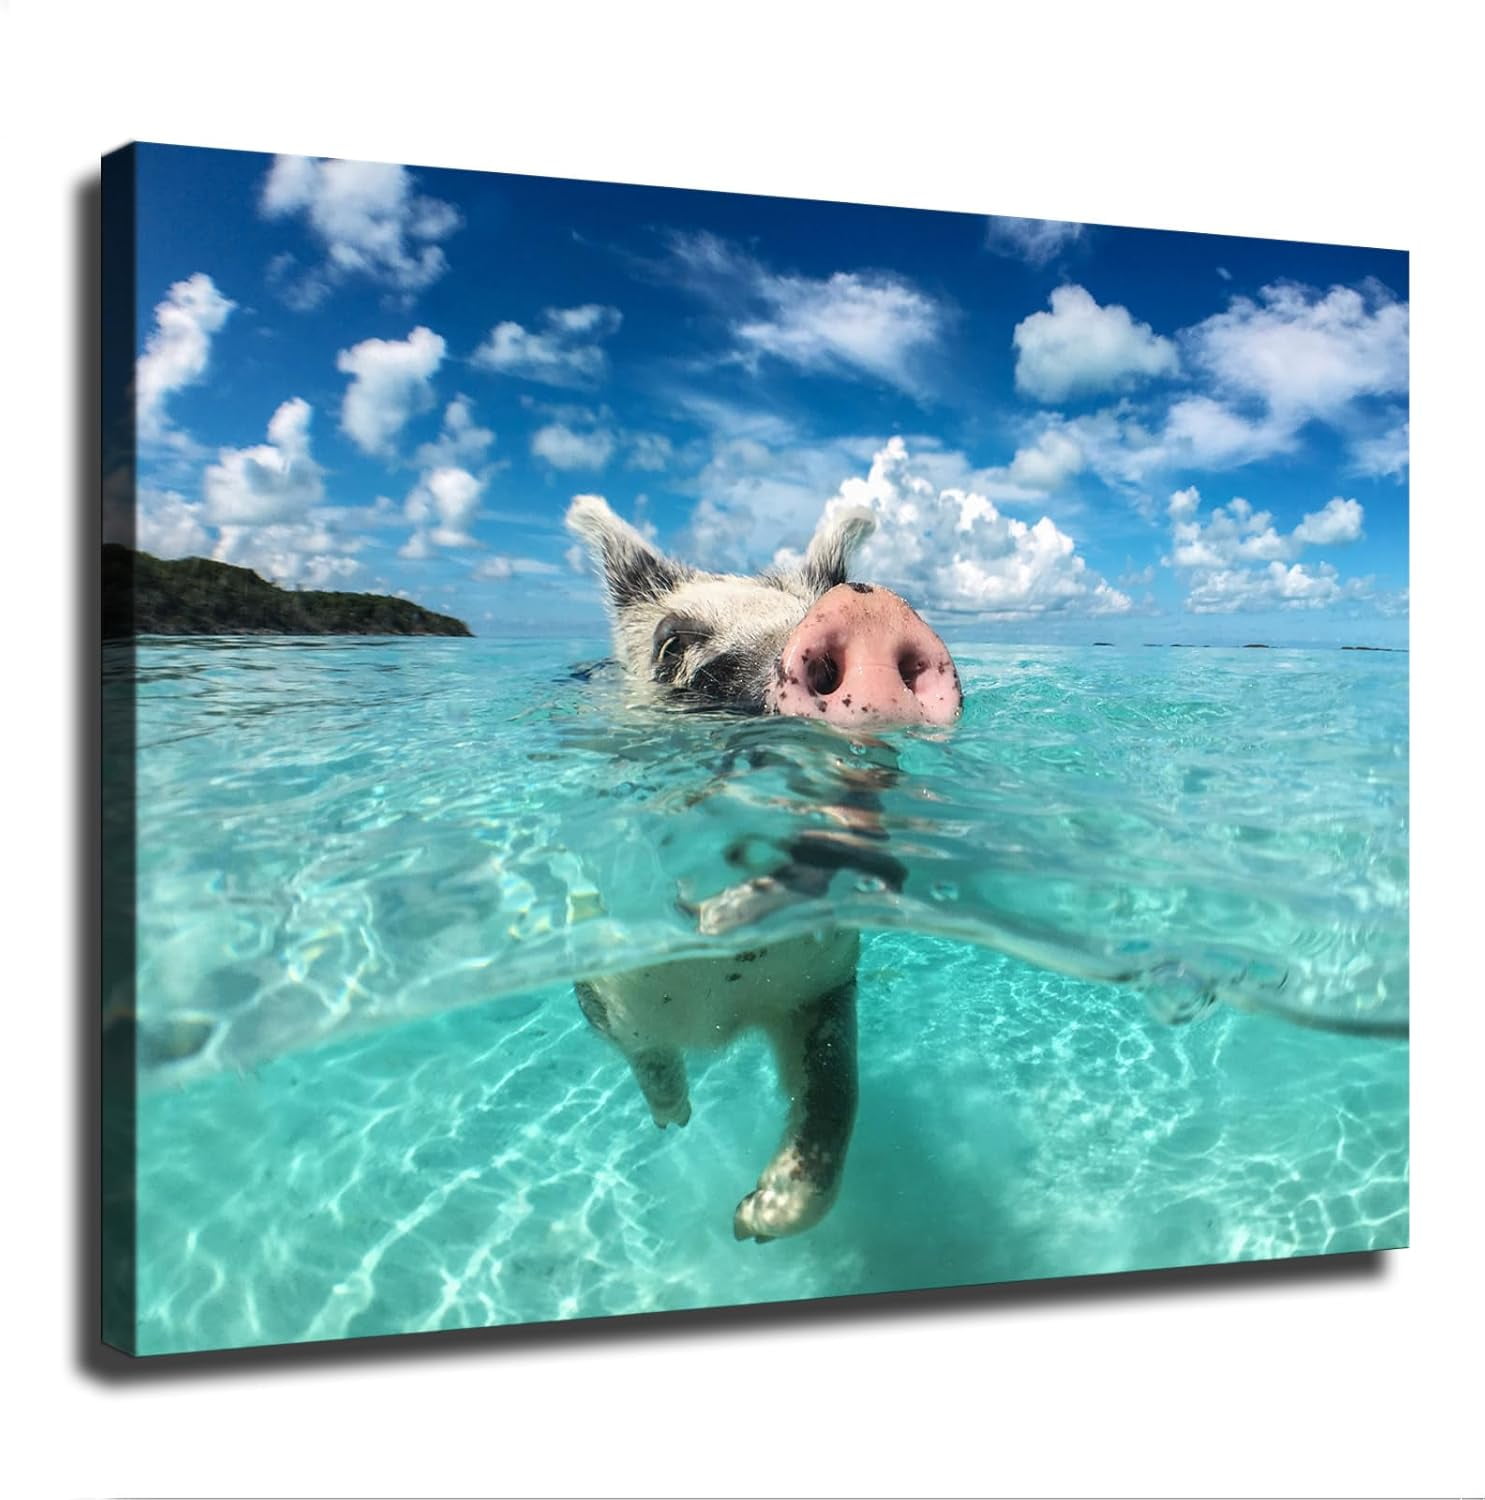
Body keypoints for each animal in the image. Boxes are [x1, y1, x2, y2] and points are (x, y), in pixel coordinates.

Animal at [563, 494, 962, 1242]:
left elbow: (837, 1092)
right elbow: (642, 1051)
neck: (722, 998)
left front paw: (750, 1220)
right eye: (671, 646)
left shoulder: (825, 985)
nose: (864, 609)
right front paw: (675, 1121)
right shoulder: (603, 980)